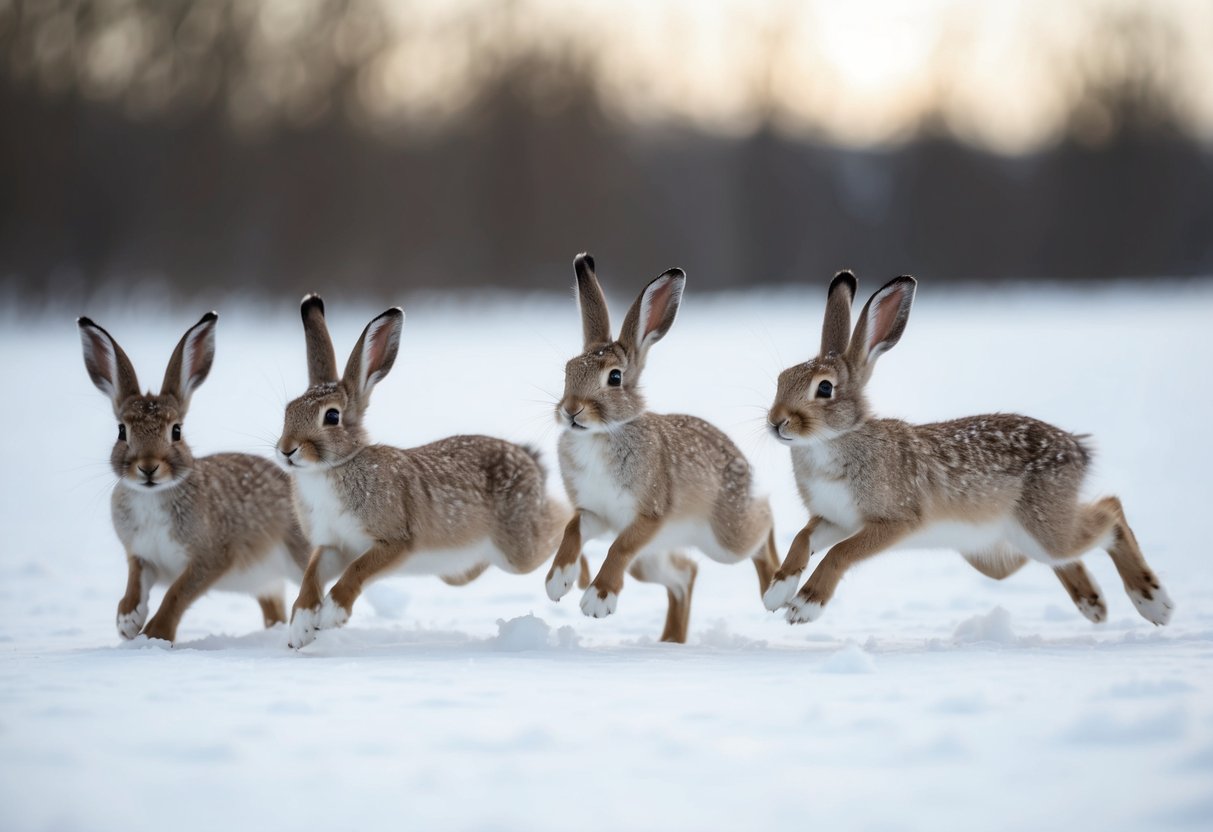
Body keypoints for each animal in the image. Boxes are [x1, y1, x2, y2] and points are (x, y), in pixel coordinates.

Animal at [77, 312, 311, 643]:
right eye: (122, 431)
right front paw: (127, 621)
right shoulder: (140, 555)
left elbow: (177, 594)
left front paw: (154, 635)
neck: (152, 495)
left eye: (176, 431)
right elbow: (135, 583)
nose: (148, 467)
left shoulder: (210, 558)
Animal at [277, 295, 574, 648]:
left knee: (562, 518)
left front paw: (332, 615)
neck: (333, 468)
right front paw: (300, 628)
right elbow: (311, 577)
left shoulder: (395, 540)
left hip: (519, 550)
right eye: (287, 411)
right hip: (458, 569)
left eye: (332, 417)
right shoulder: (334, 545)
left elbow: (358, 571)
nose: (286, 450)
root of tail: (529, 459)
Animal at [544, 253, 781, 643]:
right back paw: (670, 640)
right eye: (568, 371)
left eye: (614, 377)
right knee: (685, 574)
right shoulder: (595, 513)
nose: (571, 410)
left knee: (763, 526)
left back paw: (776, 590)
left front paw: (597, 600)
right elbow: (572, 530)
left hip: (725, 540)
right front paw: (557, 581)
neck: (601, 435)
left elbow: (619, 547)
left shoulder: (649, 514)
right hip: (650, 561)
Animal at [763, 271, 1173, 626]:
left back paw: (1153, 603)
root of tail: (1077, 448)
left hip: (1045, 529)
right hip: (1006, 548)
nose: (776, 422)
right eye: (780, 380)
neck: (833, 441)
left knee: (1111, 513)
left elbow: (839, 553)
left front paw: (803, 606)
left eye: (825, 388)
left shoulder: (895, 520)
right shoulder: (835, 519)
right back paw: (1094, 605)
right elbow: (802, 539)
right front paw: (776, 591)